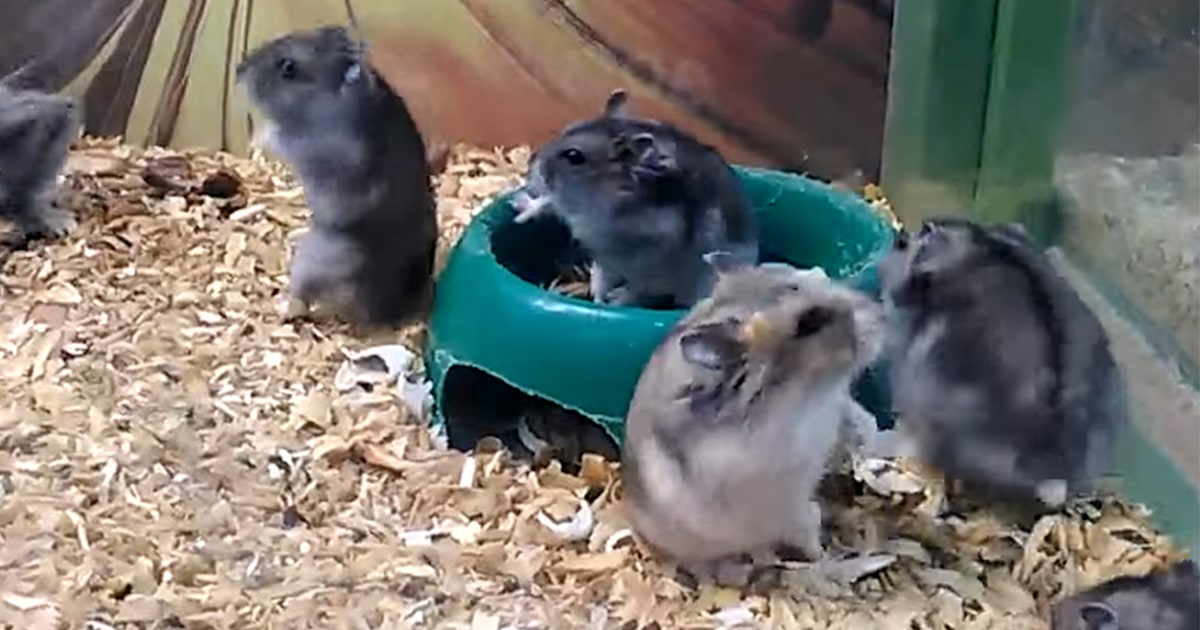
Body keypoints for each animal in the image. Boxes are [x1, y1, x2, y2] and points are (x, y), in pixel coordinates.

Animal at [235, 25, 438, 328]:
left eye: (288, 68)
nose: (238, 71)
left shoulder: (323, 149)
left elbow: (283, 138)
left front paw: (258, 137)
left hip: (313, 260)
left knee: (302, 296)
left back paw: (282, 308)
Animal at [515, 89, 758, 310]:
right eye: (566, 129)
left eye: (574, 156)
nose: (531, 166)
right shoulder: (602, 253)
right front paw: (520, 208)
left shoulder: (650, 262)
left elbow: (637, 290)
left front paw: (609, 301)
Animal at [620, 253, 885, 585]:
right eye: (809, 322)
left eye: (821, 279)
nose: (882, 318)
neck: (804, 391)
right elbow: (806, 530)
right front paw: (825, 556)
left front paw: (868, 439)